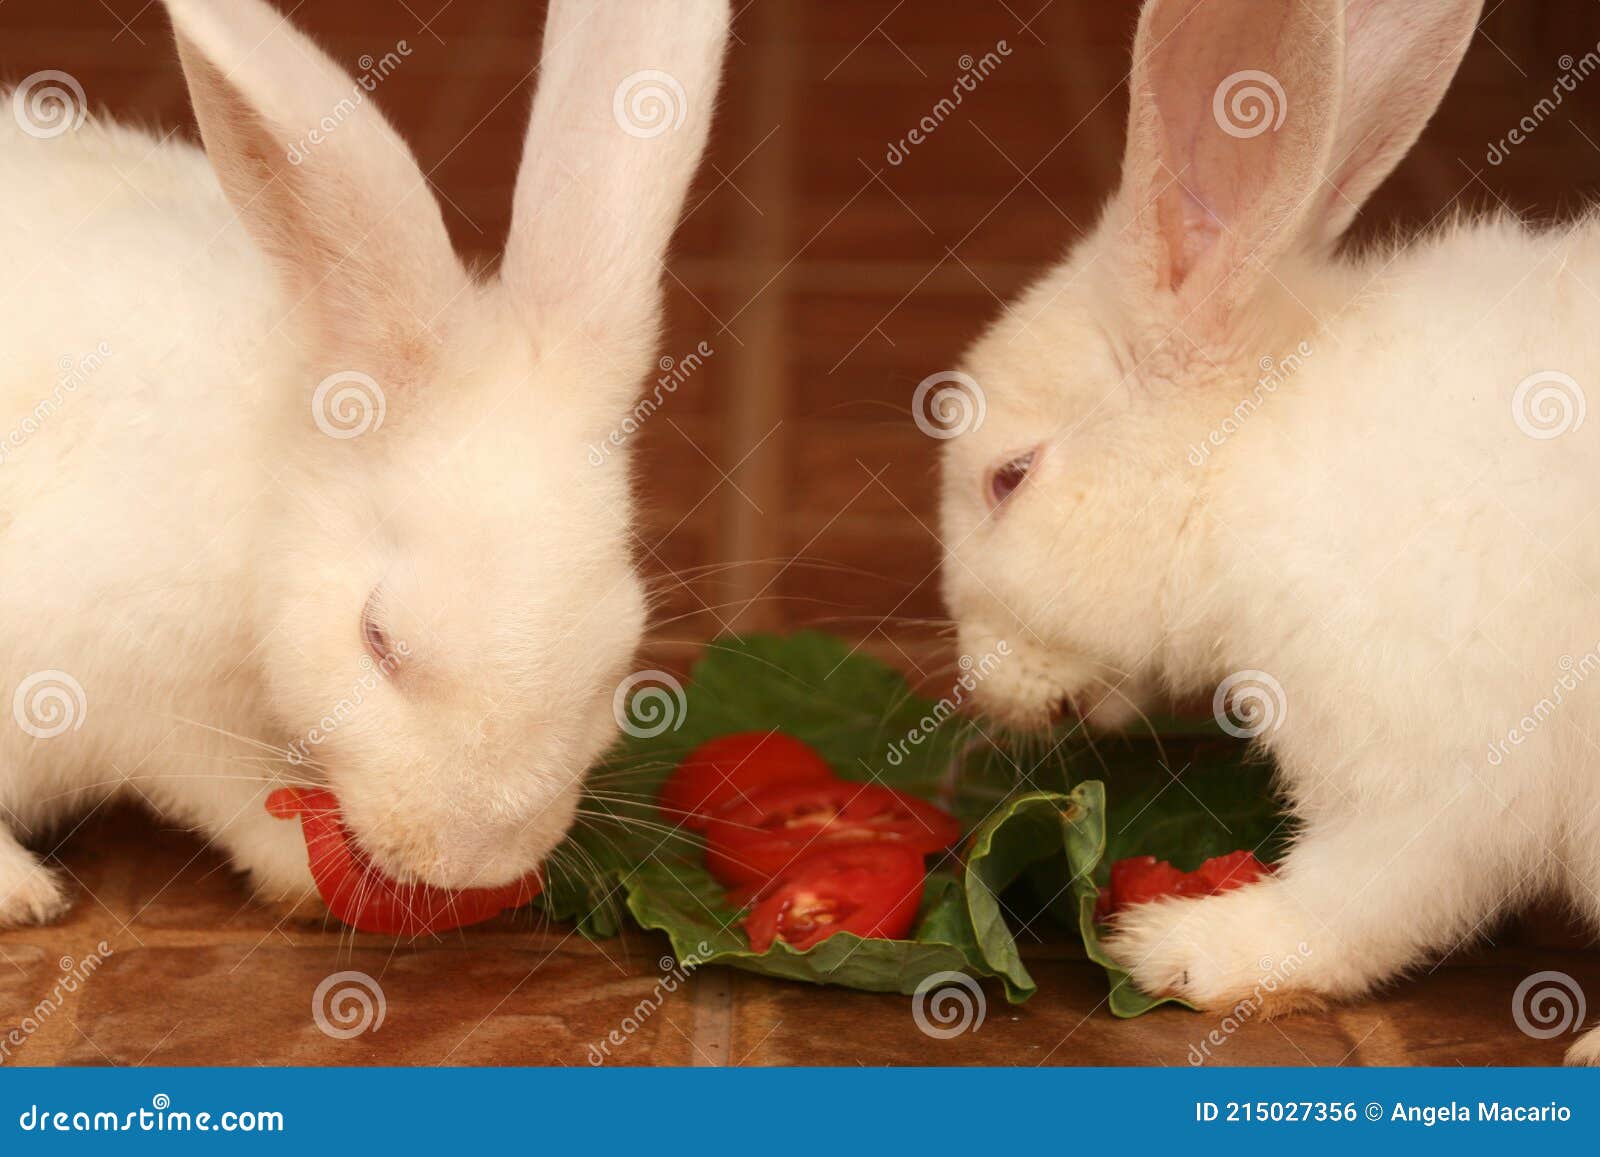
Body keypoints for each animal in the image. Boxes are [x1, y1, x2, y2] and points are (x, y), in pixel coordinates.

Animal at [0, 0, 729, 927]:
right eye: (377, 640)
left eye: (624, 643)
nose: (473, 864)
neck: (266, 492)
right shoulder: (145, 700)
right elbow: (232, 790)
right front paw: (306, 879)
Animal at [938, 0, 1600, 1064]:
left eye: (1010, 477)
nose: (979, 681)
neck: (1242, 459)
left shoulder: (1426, 776)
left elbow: (1352, 905)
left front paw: (1177, 947)